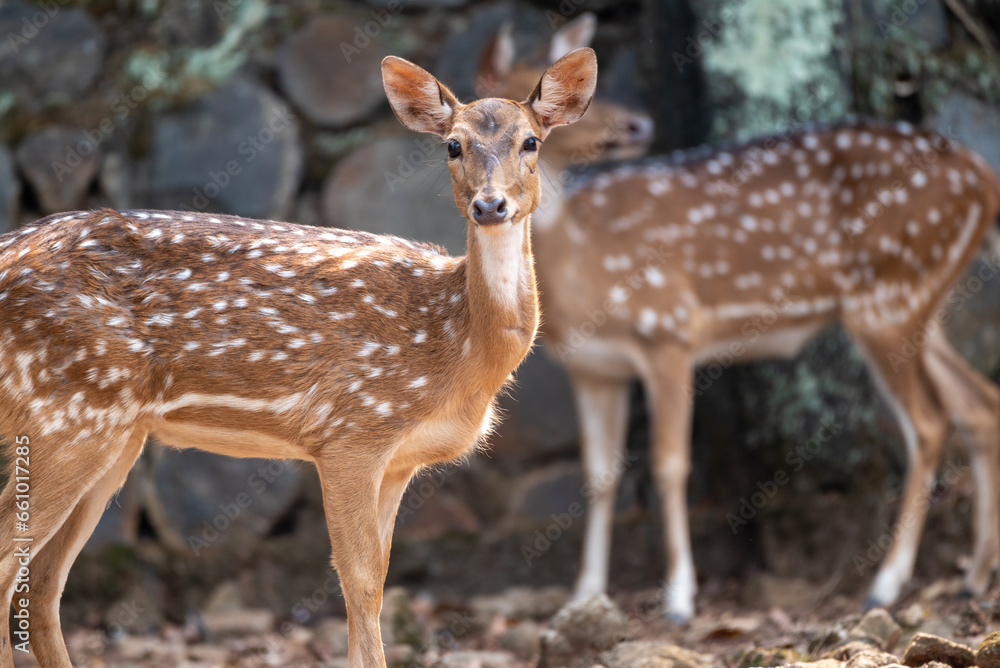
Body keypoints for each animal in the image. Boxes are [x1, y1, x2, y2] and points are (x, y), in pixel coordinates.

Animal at [0, 48, 598, 668]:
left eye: (531, 141)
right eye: (452, 145)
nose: (490, 204)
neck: (456, 347)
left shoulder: (400, 459)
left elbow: (379, 578)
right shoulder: (350, 431)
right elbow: (359, 579)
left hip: (113, 435)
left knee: (41, 584)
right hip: (66, 413)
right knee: (9, 569)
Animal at [485, 18, 1000, 622]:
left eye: (543, 113)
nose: (638, 124)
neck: (581, 268)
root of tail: (985, 180)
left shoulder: (668, 329)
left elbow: (668, 464)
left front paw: (680, 598)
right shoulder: (592, 368)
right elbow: (599, 477)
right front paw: (584, 597)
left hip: (887, 297)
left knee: (930, 422)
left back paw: (887, 584)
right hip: (919, 302)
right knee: (979, 405)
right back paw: (974, 577)